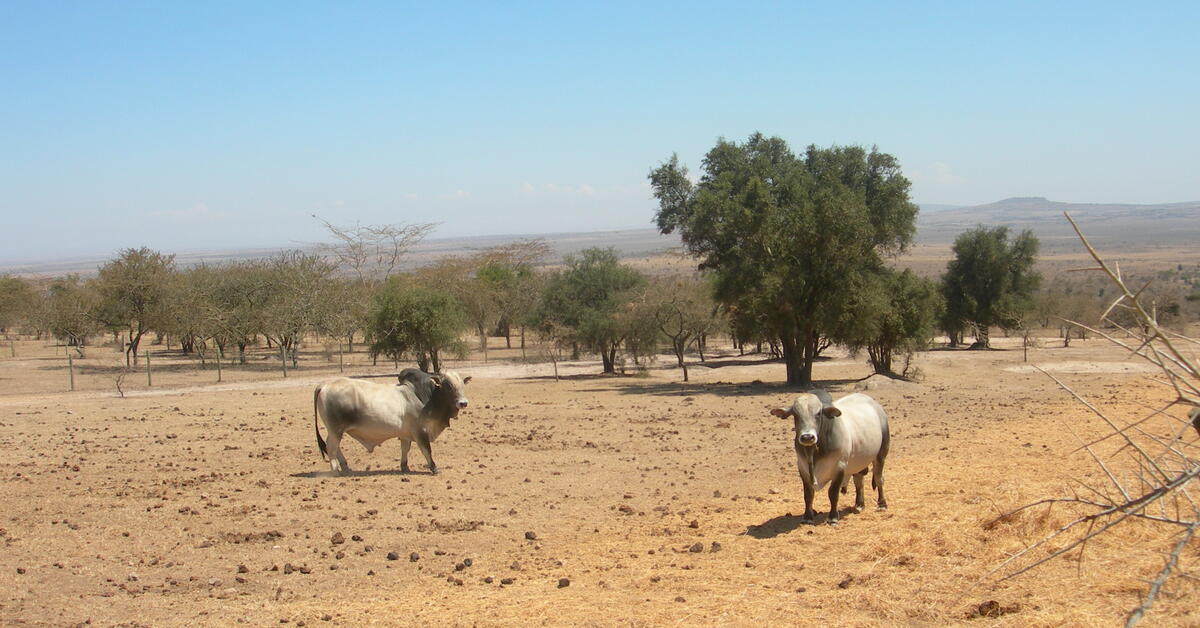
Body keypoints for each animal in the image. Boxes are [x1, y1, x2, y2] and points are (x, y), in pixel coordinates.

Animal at [313, 371, 471, 475]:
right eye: (448, 386)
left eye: (462, 385)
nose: (463, 403)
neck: (423, 396)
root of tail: (324, 385)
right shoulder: (421, 431)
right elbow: (426, 450)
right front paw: (434, 468)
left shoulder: (406, 434)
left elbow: (405, 449)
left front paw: (404, 467)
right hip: (336, 430)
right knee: (331, 446)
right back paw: (335, 470)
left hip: (336, 431)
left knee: (333, 446)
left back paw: (345, 467)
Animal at [770, 390, 889, 524]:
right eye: (795, 414)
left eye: (818, 413)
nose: (807, 437)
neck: (814, 453)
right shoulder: (802, 468)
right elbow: (808, 494)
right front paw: (807, 516)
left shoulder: (839, 467)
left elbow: (833, 493)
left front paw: (833, 517)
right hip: (858, 461)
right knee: (859, 480)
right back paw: (859, 504)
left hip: (881, 454)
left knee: (879, 478)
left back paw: (882, 504)